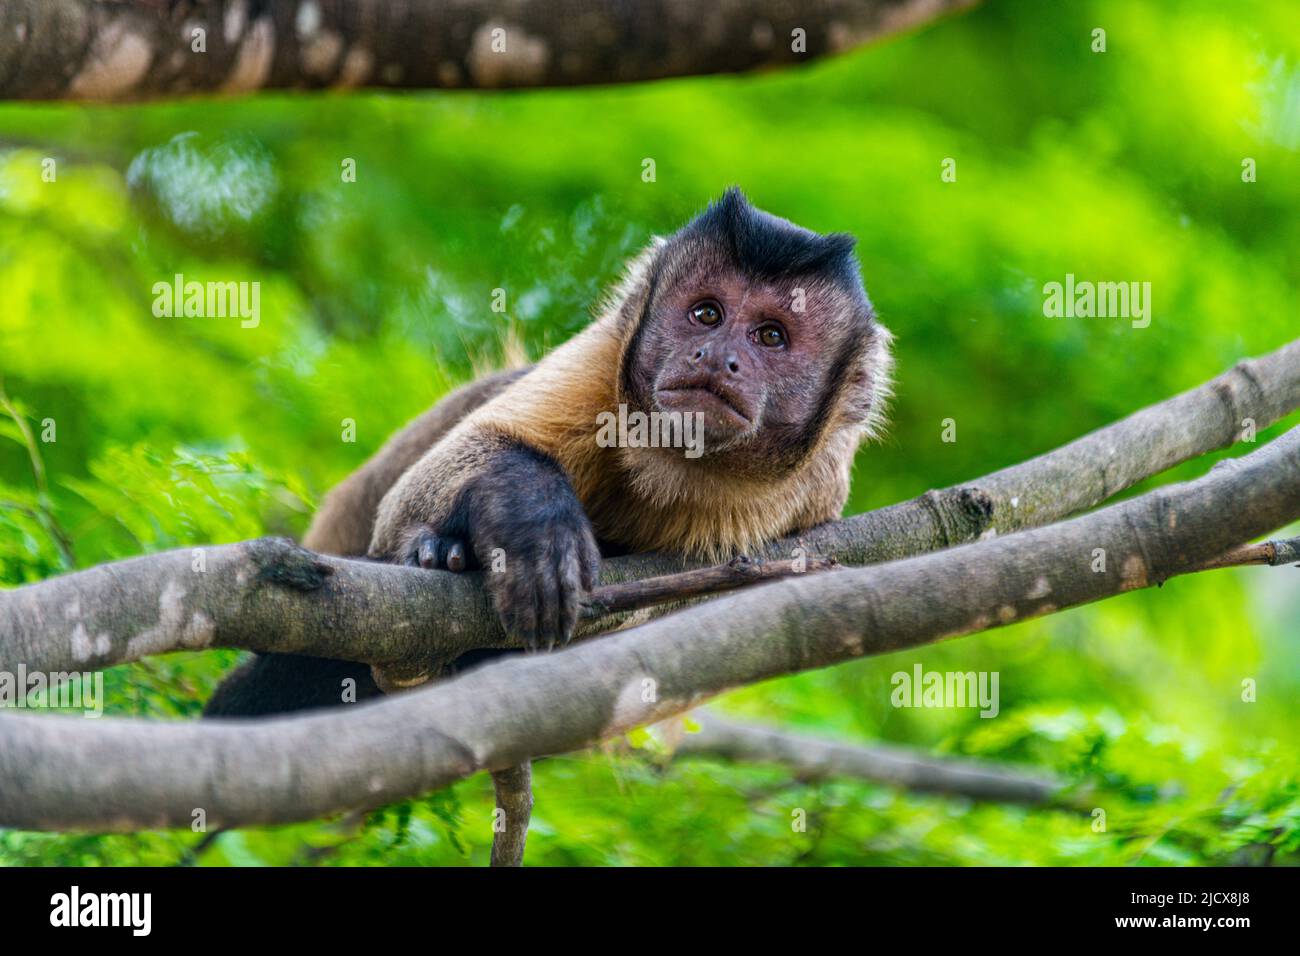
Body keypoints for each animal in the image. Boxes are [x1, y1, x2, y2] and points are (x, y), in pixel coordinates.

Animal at [204, 187, 891, 717]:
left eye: (770, 337)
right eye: (706, 314)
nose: (718, 355)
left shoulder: (814, 500)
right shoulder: (600, 361)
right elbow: (444, 471)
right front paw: (534, 526)